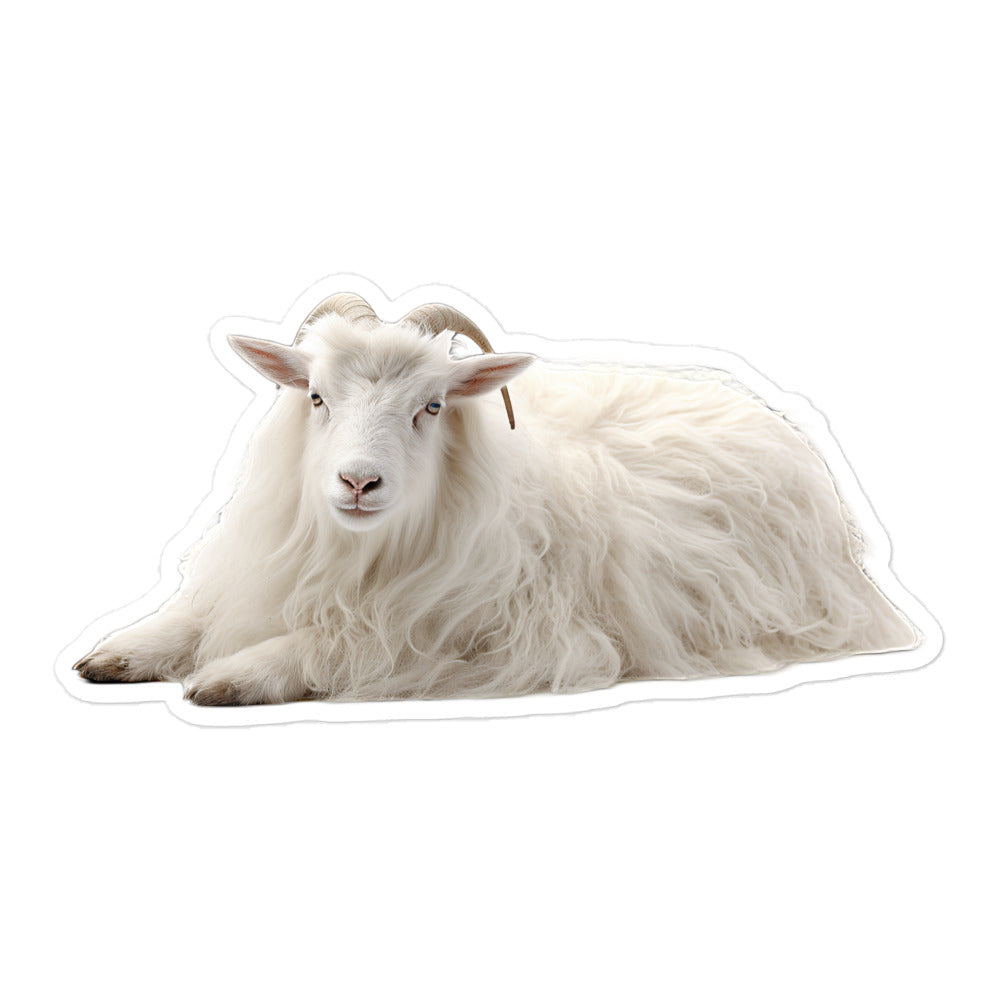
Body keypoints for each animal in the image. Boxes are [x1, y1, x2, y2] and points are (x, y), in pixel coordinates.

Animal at [74, 292, 917, 705]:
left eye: (432, 406)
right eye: (315, 396)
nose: (358, 482)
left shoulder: (481, 637)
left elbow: (341, 642)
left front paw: (236, 674)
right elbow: (195, 614)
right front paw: (122, 652)